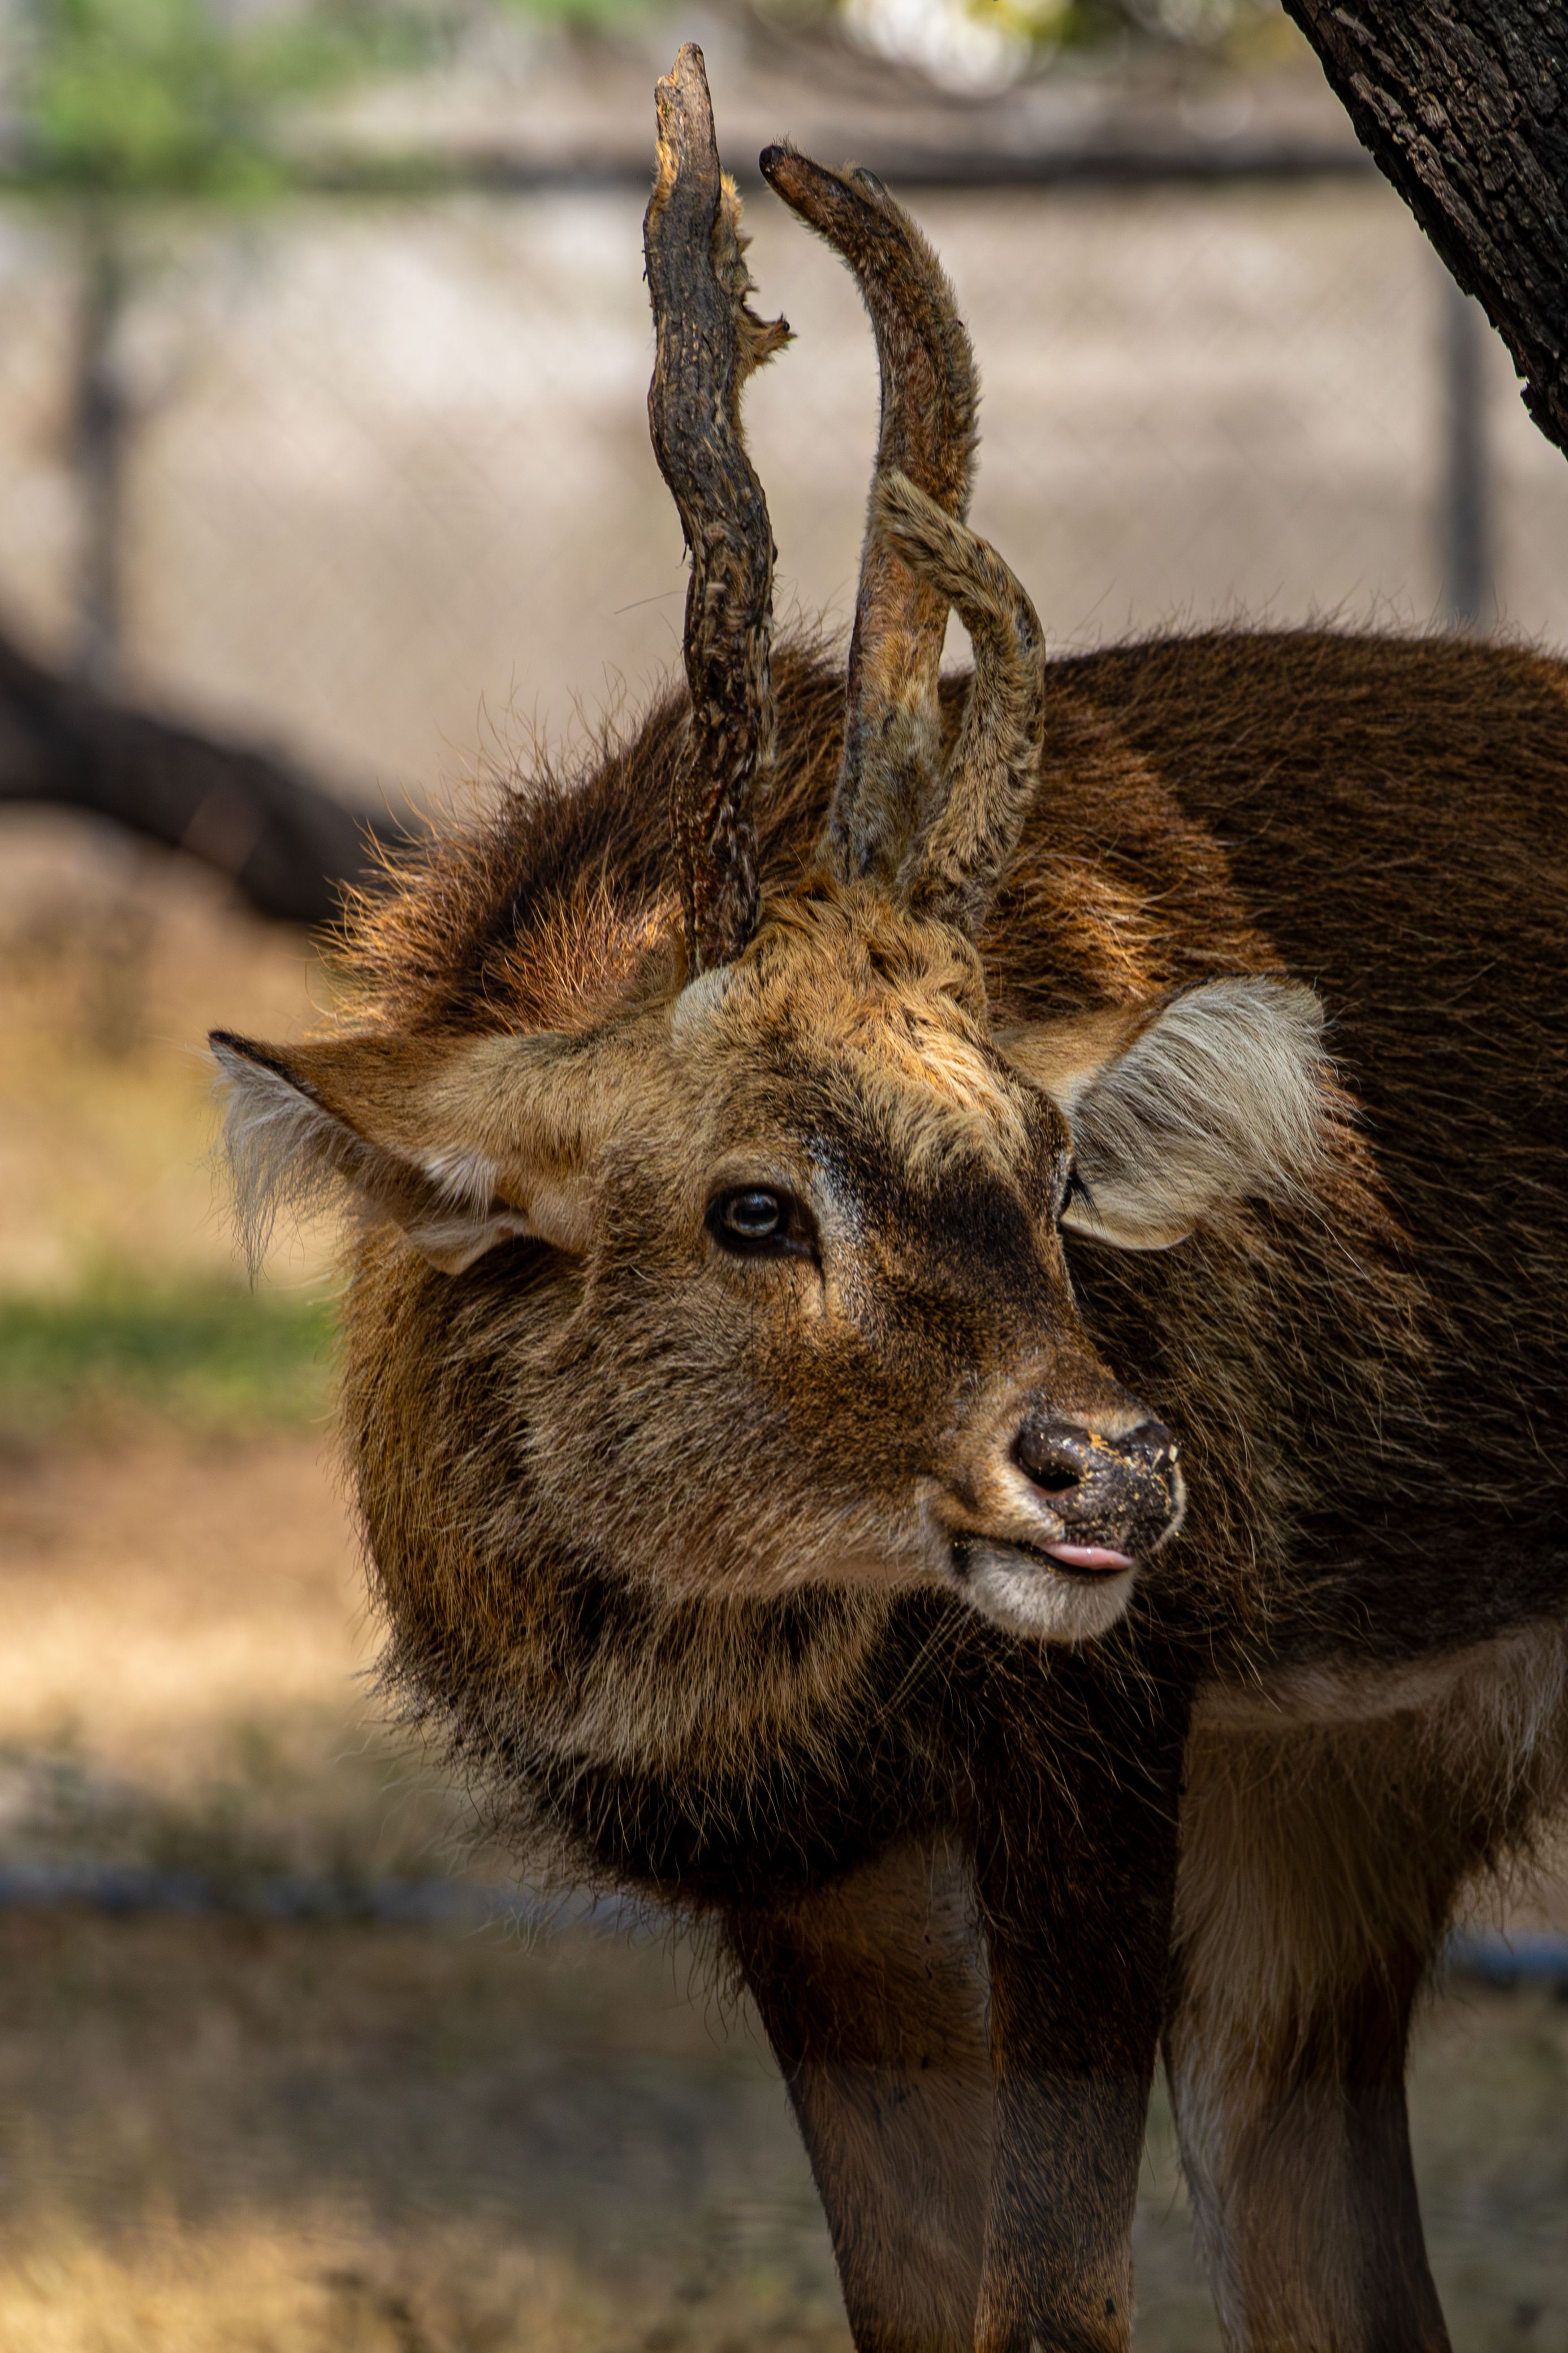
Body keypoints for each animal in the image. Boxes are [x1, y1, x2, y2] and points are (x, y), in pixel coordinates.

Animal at [211, 45, 1568, 2353]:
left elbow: (1055, 2300)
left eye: (1050, 1168)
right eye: (751, 1205)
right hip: (1341, 1820)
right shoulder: (811, 1876)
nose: (1113, 1464)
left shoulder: (1109, 1743)